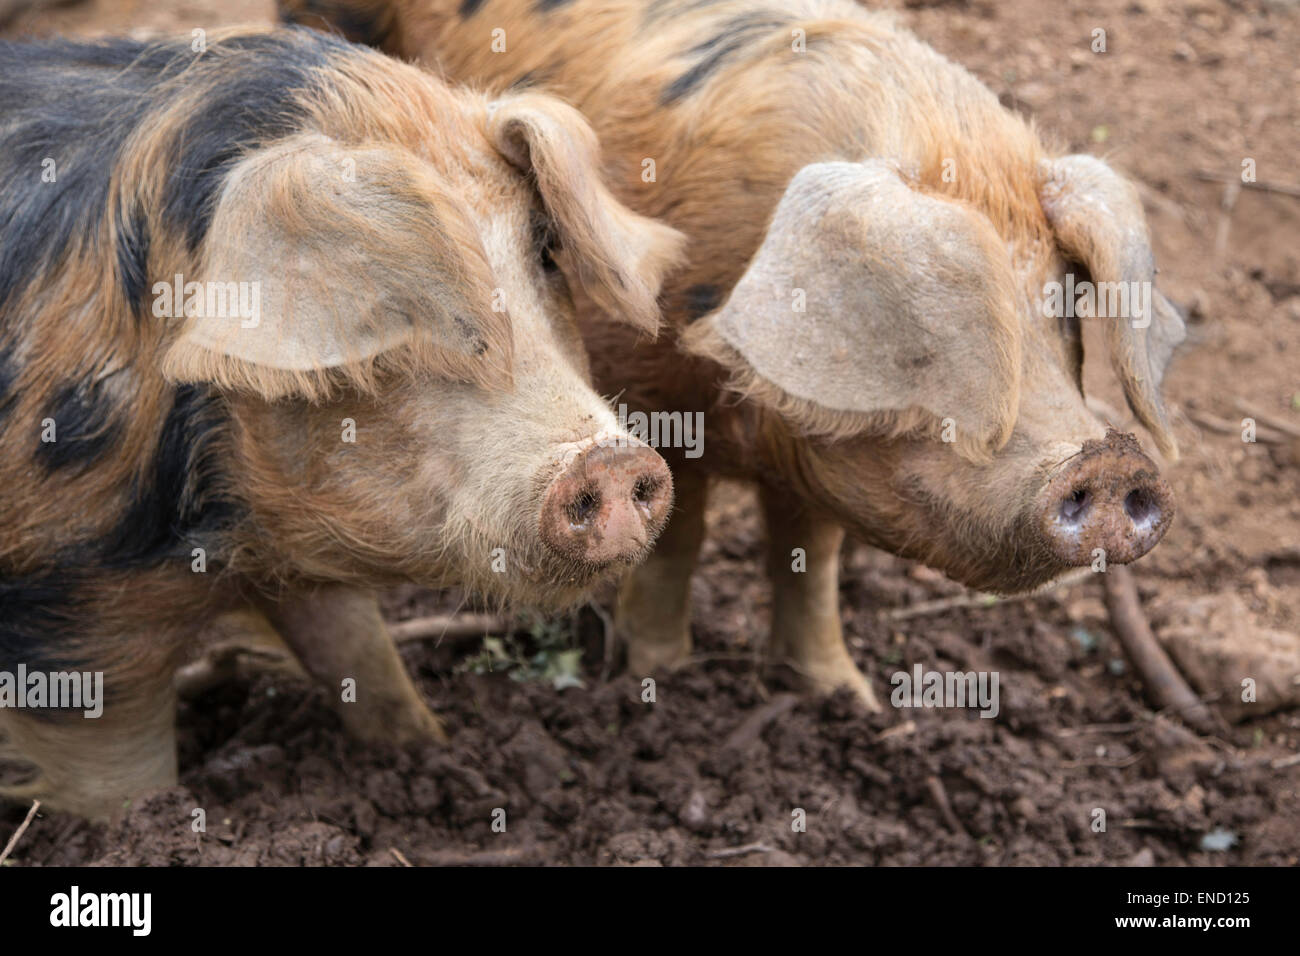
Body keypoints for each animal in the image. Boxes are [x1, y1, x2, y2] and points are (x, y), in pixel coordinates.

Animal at [0, 27, 685, 818]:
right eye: (399, 308)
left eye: (544, 255)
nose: (610, 459)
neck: (221, 527)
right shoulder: (72, 613)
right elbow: (120, 775)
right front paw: (141, 822)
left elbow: (360, 655)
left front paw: (428, 749)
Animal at [281, 0, 1185, 710]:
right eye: (937, 319)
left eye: (1066, 309)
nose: (1110, 460)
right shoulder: (644, 389)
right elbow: (677, 530)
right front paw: (659, 675)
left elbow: (810, 562)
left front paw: (845, 697)